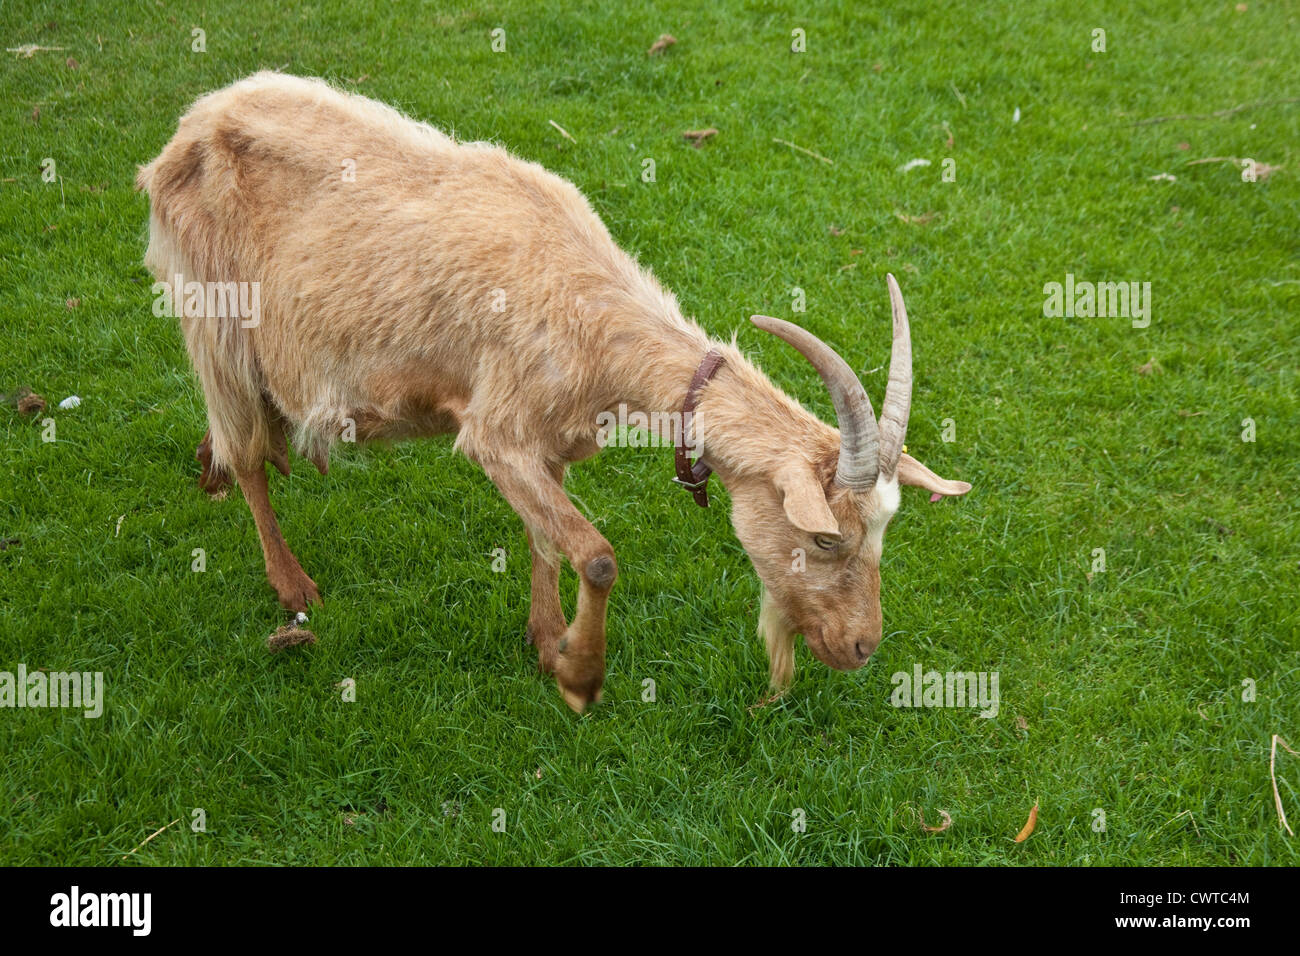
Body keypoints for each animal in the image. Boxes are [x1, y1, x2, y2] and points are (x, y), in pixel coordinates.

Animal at [137, 73, 971, 712]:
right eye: (824, 538)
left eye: (885, 528)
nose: (862, 646)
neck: (588, 303)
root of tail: (188, 125)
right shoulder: (495, 433)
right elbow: (596, 556)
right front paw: (580, 676)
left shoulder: (551, 440)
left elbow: (546, 537)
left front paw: (546, 641)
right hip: (213, 315)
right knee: (248, 452)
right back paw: (290, 586)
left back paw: (214, 474)